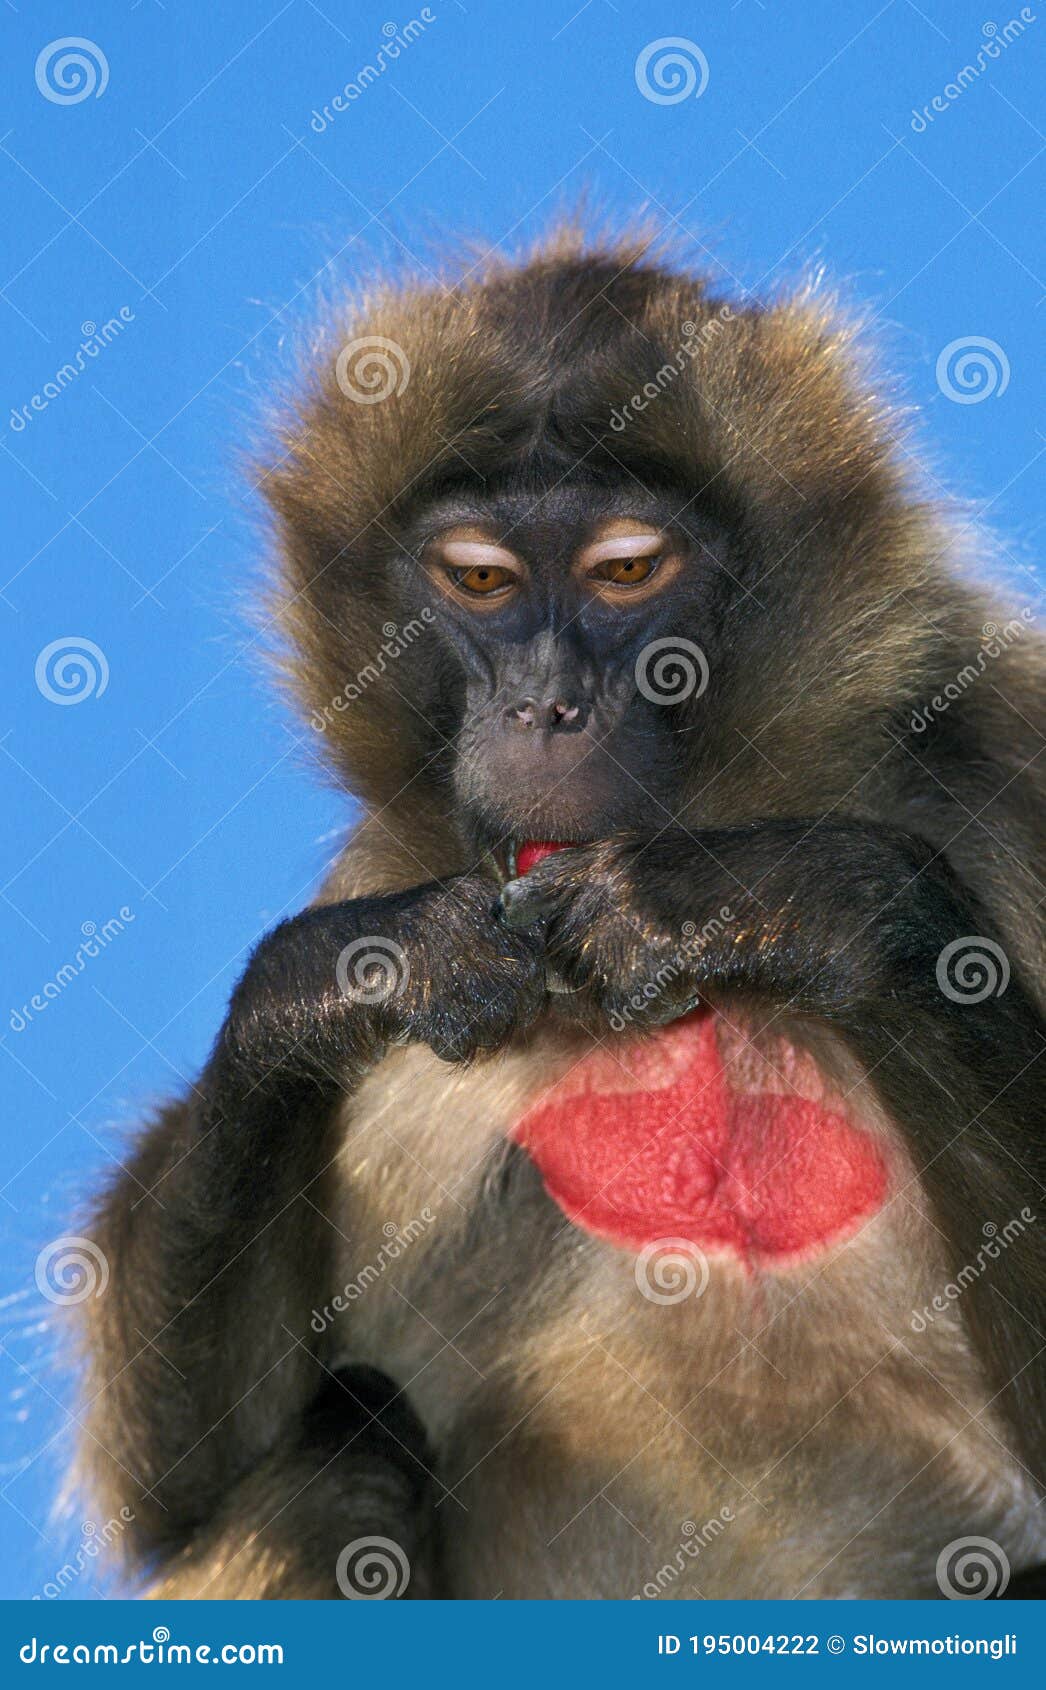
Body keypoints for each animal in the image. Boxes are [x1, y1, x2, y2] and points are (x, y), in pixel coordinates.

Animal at [73, 223, 1046, 1601]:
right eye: (477, 580)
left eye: (625, 570)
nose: (543, 707)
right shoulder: (409, 875)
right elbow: (181, 1482)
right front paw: (336, 979)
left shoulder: (996, 778)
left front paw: (781, 900)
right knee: (337, 1449)